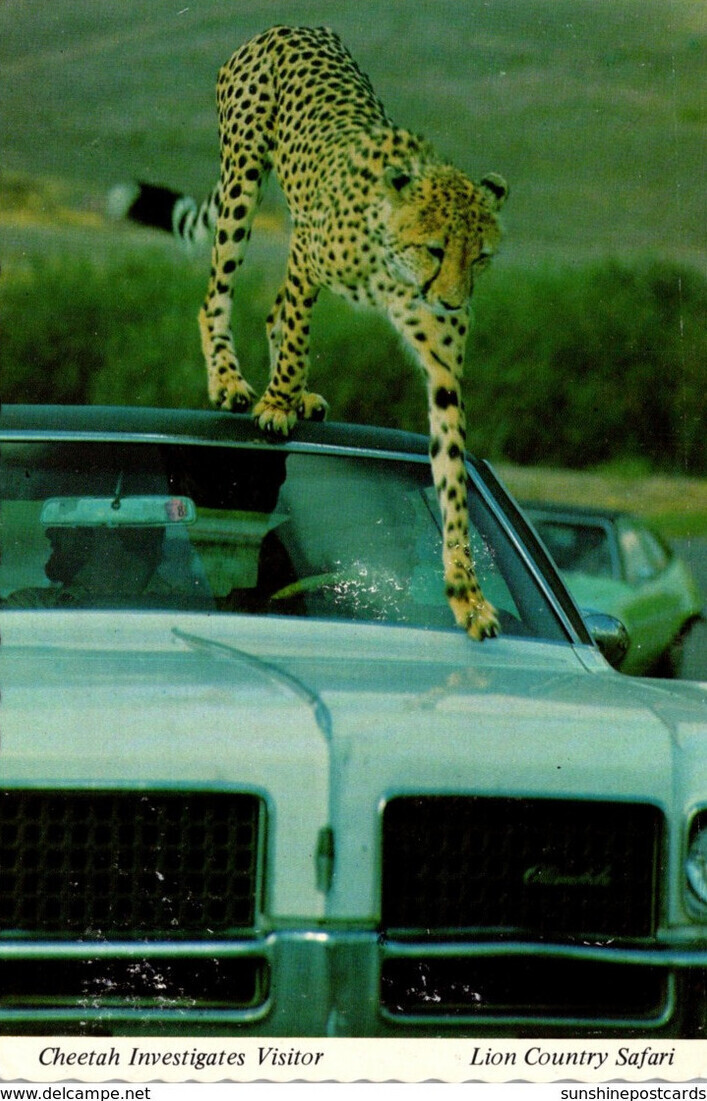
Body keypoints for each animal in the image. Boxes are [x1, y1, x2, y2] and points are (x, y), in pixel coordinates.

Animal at [112, 24, 508, 640]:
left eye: (481, 256)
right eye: (436, 249)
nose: (451, 301)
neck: (394, 267)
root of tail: (287, 28)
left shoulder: (443, 367)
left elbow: (450, 475)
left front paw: (467, 597)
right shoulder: (306, 253)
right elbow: (297, 337)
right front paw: (277, 405)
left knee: (270, 310)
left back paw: (296, 396)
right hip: (243, 179)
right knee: (218, 295)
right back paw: (232, 383)